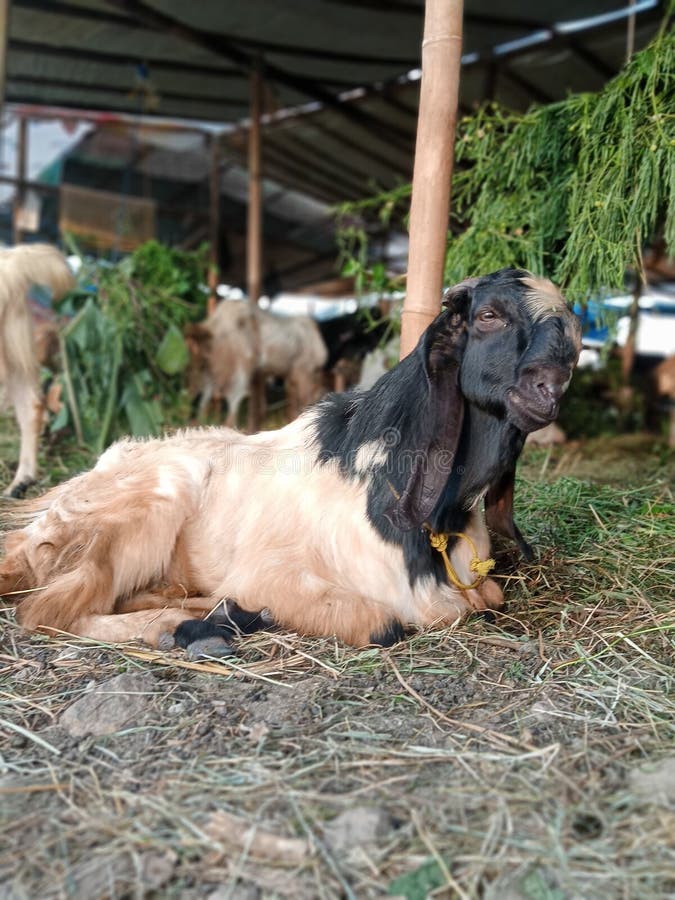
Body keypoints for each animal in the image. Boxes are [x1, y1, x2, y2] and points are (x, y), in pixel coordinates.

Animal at [185, 301, 328, 426]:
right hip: (239, 372)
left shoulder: (288, 375)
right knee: (229, 414)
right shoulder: (303, 371)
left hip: (208, 376)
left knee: (201, 409)